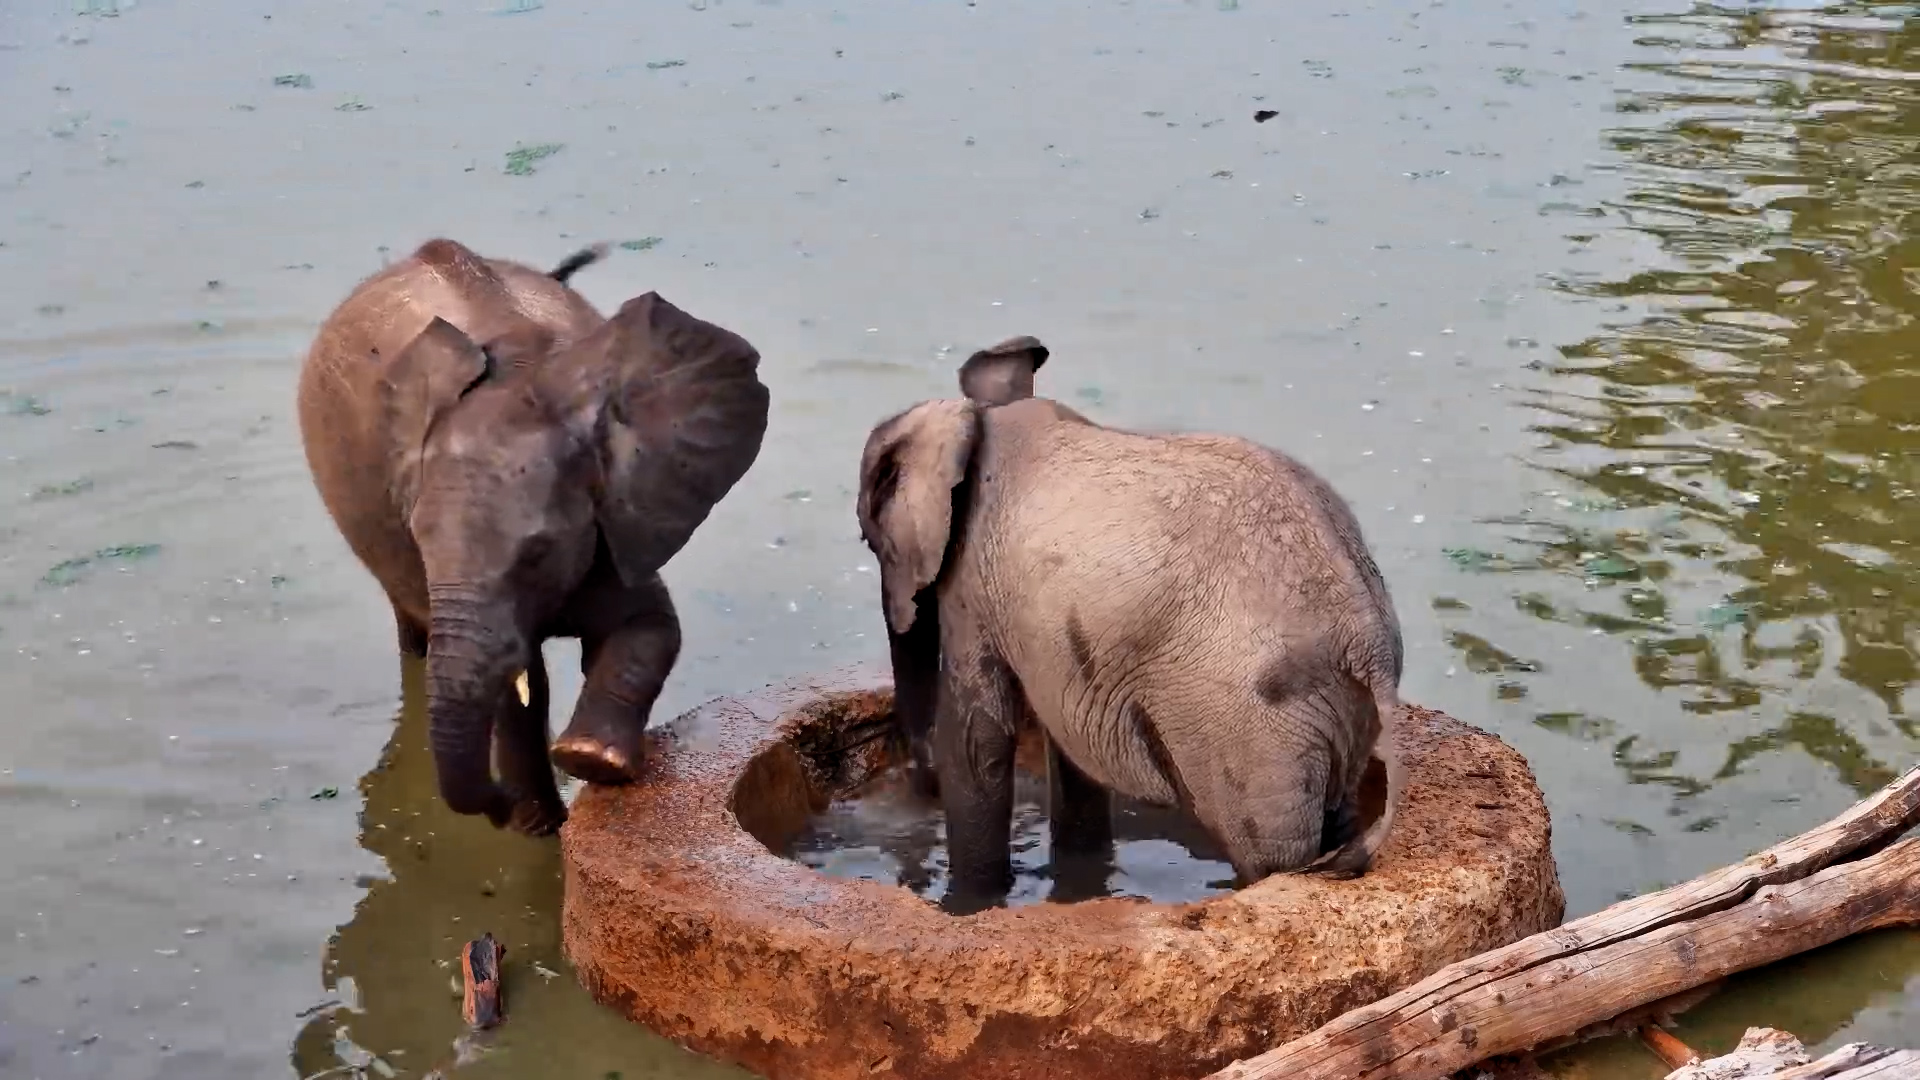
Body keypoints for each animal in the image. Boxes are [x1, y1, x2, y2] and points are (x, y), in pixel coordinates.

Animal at [297, 237, 769, 834]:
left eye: (540, 551)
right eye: (423, 546)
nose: (497, 807)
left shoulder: (615, 515)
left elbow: (653, 626)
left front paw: (588, 760)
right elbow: (519, 691)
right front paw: (537, 825)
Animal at [856, 336, 1405, 910]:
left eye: (868, 538)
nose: (916, 797)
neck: (981, 415)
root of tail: (1369, 640)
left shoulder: (972, 581)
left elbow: (976, 737)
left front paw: (971, 906)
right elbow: (1064, 741)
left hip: (1258, 726)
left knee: (1267, 856)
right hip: (1331, 715)